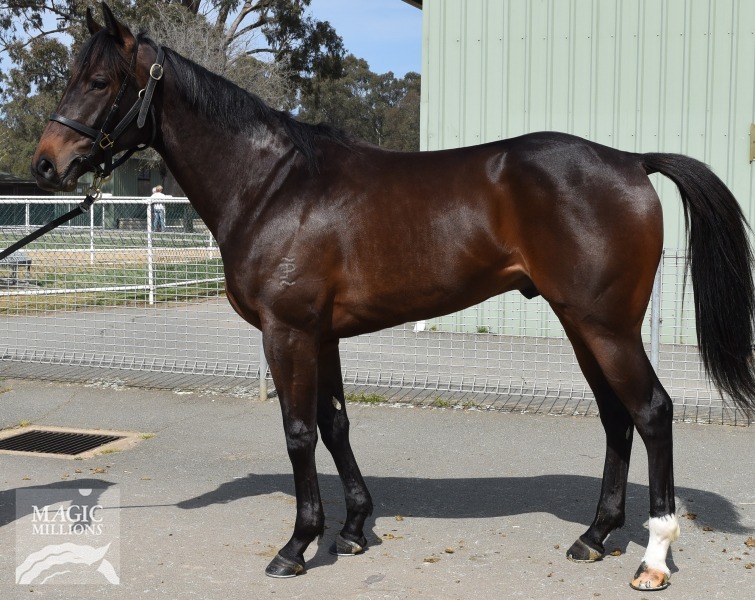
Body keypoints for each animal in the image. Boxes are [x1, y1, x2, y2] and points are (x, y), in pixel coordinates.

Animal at [30, 4, 754, 591]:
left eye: (99, 82)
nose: (44, 163)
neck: (273, 185)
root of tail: (630, 160)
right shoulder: (321, 335)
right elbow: (335, 425)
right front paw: (352, 528)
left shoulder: (287, 332)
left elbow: (298, 432)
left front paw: (297, 545)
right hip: (583, 325)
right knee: (615, 417)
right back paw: (595, 536)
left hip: (606, 326)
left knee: (652, 411)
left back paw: (652, 558)